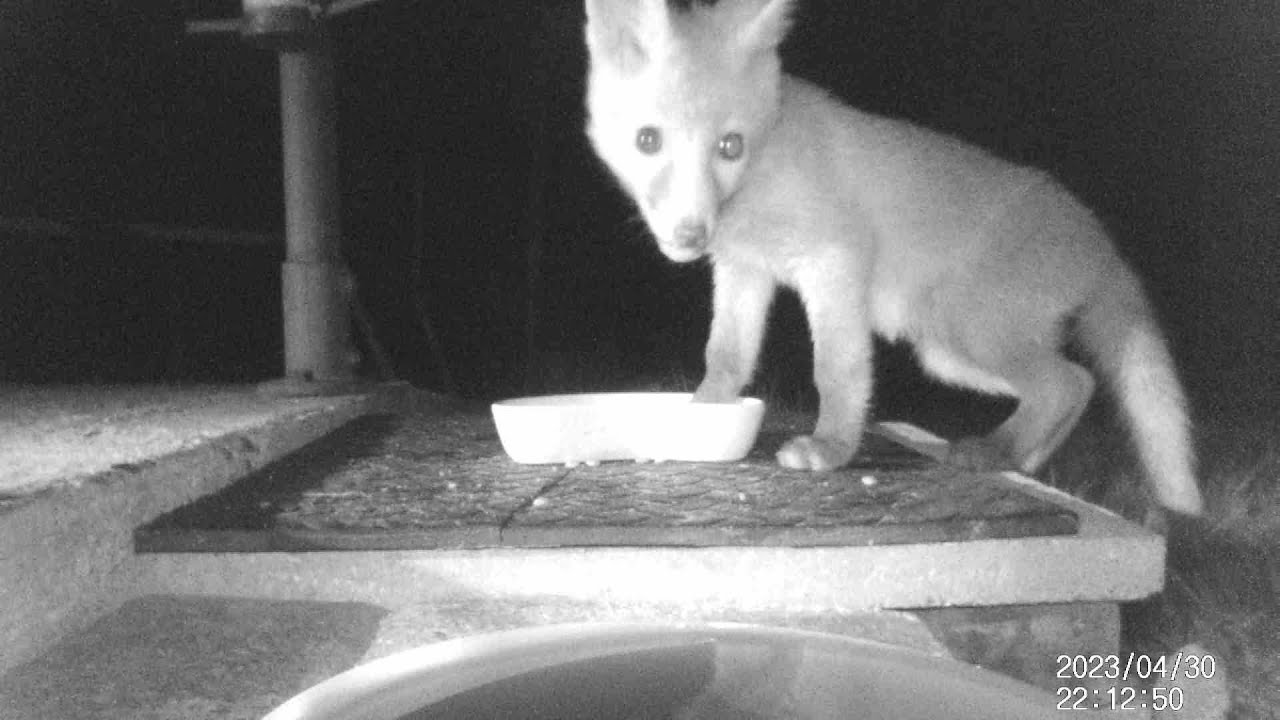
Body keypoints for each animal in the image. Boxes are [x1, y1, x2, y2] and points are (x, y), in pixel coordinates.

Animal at [582, 0, 1204, 518]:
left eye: (729, 147)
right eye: (647, 140)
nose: (690, 232)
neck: (765, 165)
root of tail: (1102, 243)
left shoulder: (833, 264)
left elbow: (837, 371)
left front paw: (830, 448)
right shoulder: (745, 271)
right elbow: (726, 356)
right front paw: (704, 413)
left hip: (970, 335)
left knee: (1064, 384)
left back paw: (995, 452)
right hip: (948, 353)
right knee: (1079, 383)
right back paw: (1014, 460)